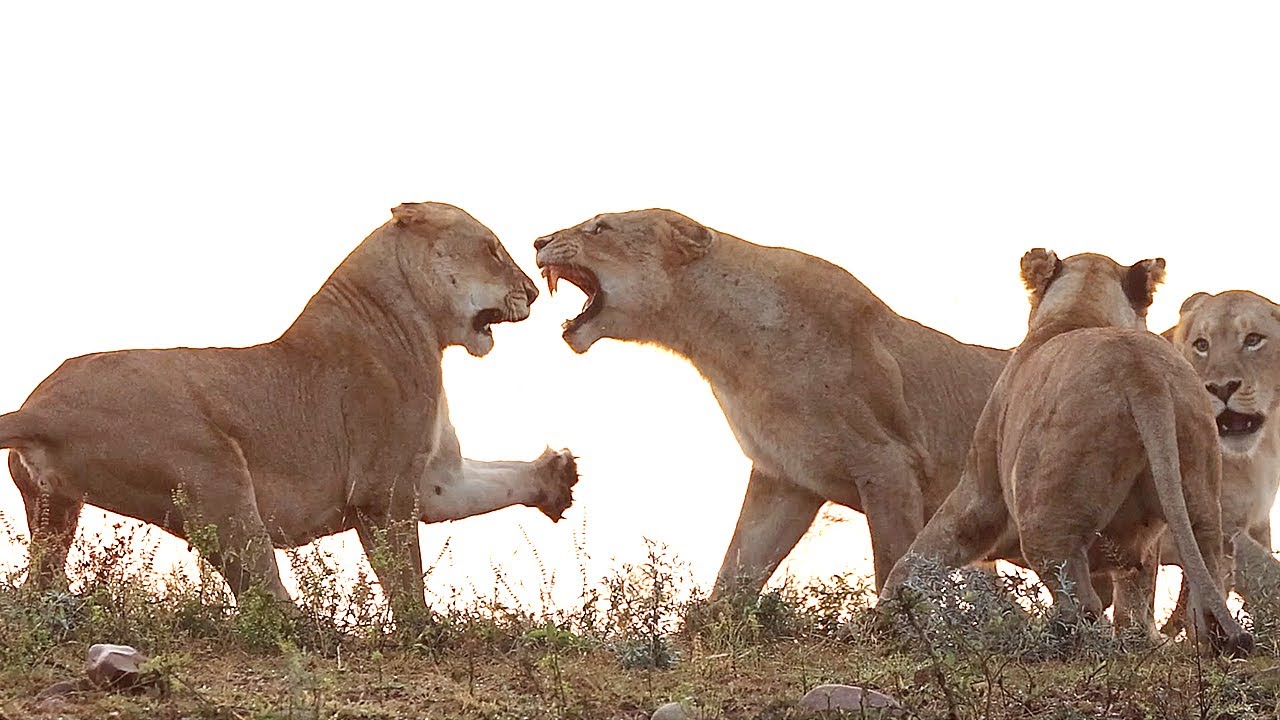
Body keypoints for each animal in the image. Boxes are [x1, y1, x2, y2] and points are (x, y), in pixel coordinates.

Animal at [0, 202, 579, 617]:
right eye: (491, 249)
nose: (532, 292)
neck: (419, 324)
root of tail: (40, 407)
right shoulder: (381, 491)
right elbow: (406, 578)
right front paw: (427, 634)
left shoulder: (435, 479)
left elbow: (491, 482)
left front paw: (557, 476)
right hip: (218, 479)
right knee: (264, 600)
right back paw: (320, 631)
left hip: (56, 511)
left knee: (39, 582)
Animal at [532, 209, 1009, 596]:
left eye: (600, 227)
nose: (538, 241)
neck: (719, 345)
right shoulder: (785, 478)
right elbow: (735, 571)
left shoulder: (888, 462)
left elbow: (893, 563)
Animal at [879, 250, 1252, 655]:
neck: (1082, 305)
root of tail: (1140, 370)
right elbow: (1137, 593)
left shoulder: (982, 485)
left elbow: (933, 544)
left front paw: (886, 615)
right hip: (1198, 497)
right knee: (1198, 582)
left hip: (1044, 516)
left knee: (1080, 603)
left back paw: (1047, 639)